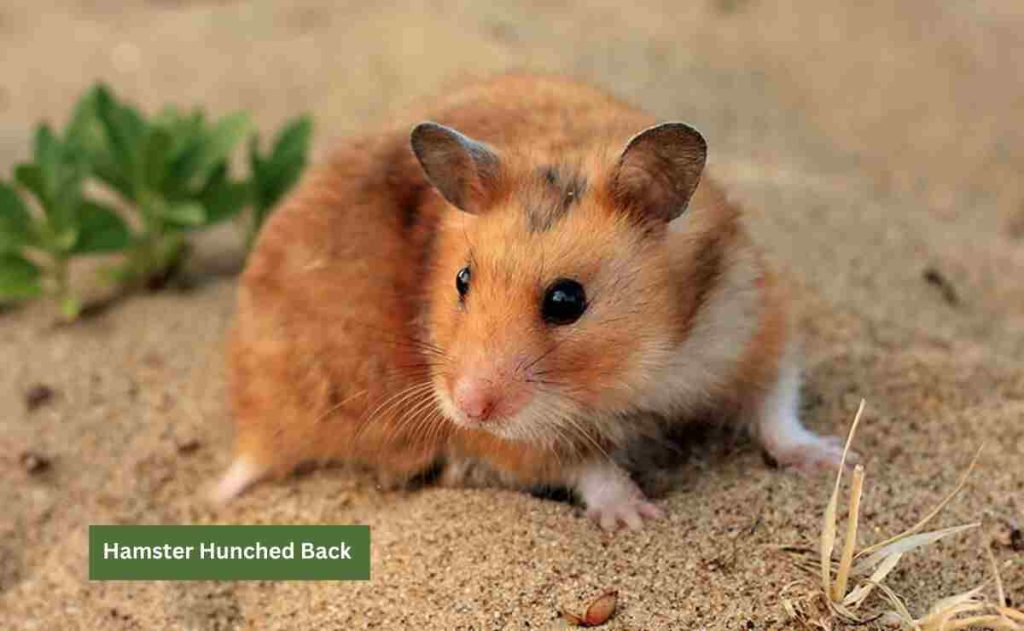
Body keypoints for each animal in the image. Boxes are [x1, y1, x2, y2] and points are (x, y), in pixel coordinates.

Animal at [216, 74, 846, 530]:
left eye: (567, 300)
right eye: (461, 279)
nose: (467, 407)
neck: (643, 370)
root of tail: (250, 424)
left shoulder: (754, 324)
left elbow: (777, 410)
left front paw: (836, 459)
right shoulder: (509, 441)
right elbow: (586, 464)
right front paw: (637, 519)